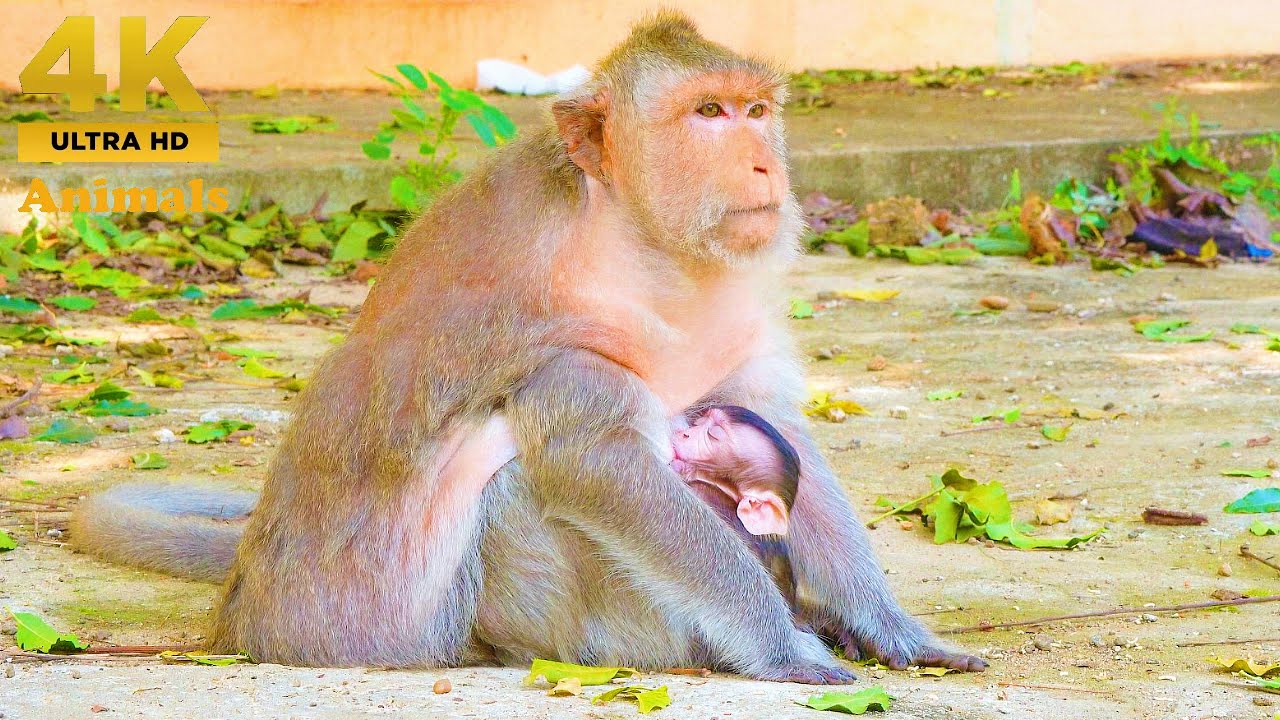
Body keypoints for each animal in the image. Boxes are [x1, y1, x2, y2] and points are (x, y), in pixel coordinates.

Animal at [69, 11, 986, 681]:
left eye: (756, 111)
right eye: (708, 114)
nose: (765, 165)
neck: (638, 245)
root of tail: (241, 614)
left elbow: (771, 425)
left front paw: (890, 625)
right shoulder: (556, 341)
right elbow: (596, 463)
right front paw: (785, 645)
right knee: (519, 485)